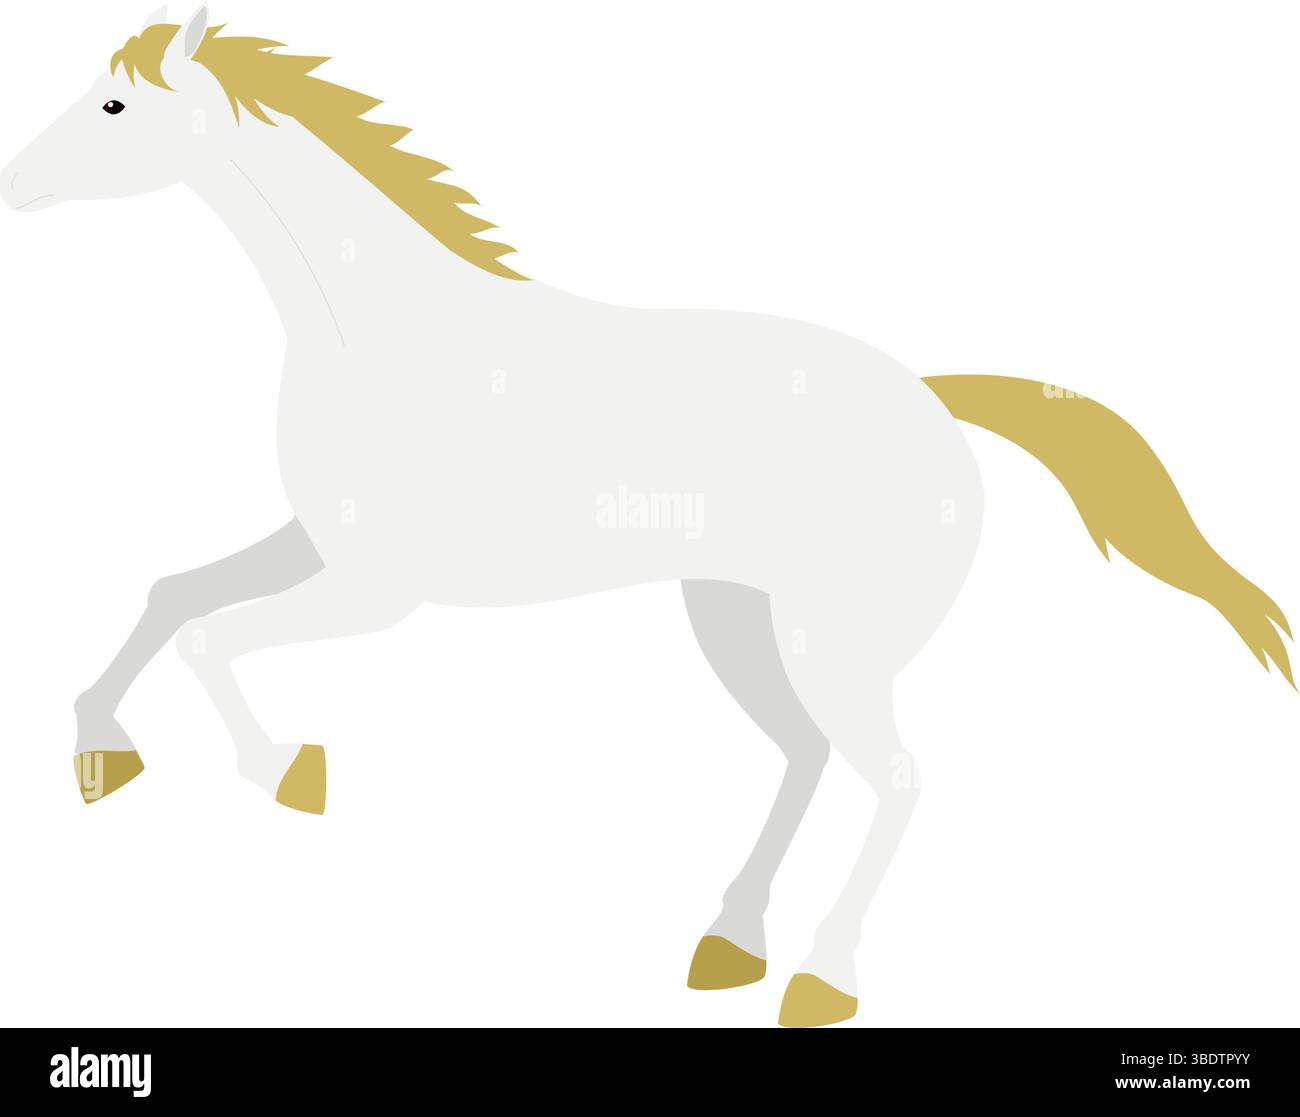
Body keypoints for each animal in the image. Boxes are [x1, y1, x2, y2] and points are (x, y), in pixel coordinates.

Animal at [4, 7, 1290, 1027]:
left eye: (112, 101)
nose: (17, 184)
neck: (383, 331)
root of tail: (931, 398)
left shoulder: (380, 592)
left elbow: (209, 638)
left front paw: (290, 771)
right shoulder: (324, 541)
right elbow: (172, 593)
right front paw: (100, 756)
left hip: (835, 643)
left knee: (897, 776)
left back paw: (819, 979)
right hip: (736, 618)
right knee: (807, 756)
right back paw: (728, 941)